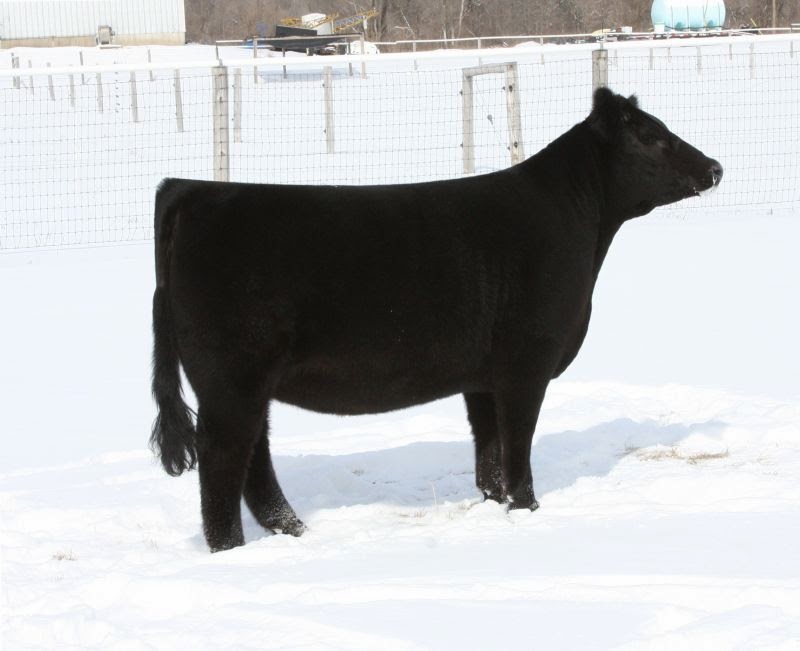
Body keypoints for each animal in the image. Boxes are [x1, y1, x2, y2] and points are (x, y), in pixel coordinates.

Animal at [151, 87, 722, 552]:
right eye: (652, 137)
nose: (714, 168)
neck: (578, 223)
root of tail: (189, 189)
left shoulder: (482, 376)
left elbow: (489, 452)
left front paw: (496, 505)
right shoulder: (526, 361)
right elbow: (517, 442)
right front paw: (528, 509)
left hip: (247, 382)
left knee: (255, 457)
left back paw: (295, 532)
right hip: (231, 374)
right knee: (224, 458)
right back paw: (232, 548)